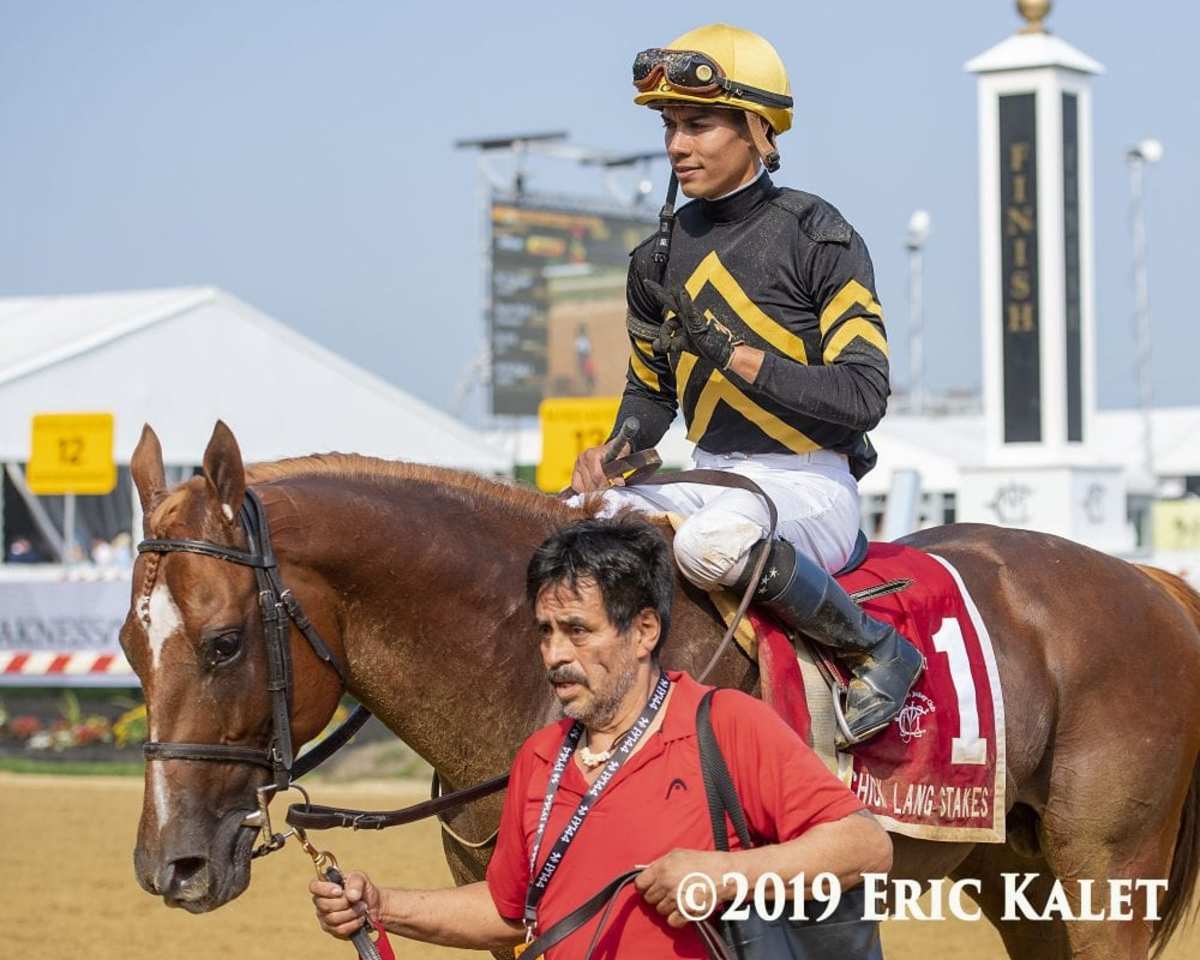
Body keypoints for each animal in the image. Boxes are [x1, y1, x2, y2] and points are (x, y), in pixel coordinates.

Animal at [119, 420, 1200, 960]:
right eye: (132, 645)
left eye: (222, 644)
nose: (171, 865)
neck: (526, 649)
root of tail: (1151, 581)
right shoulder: (517, 915)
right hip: (1022, 884)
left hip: (1104, 878)